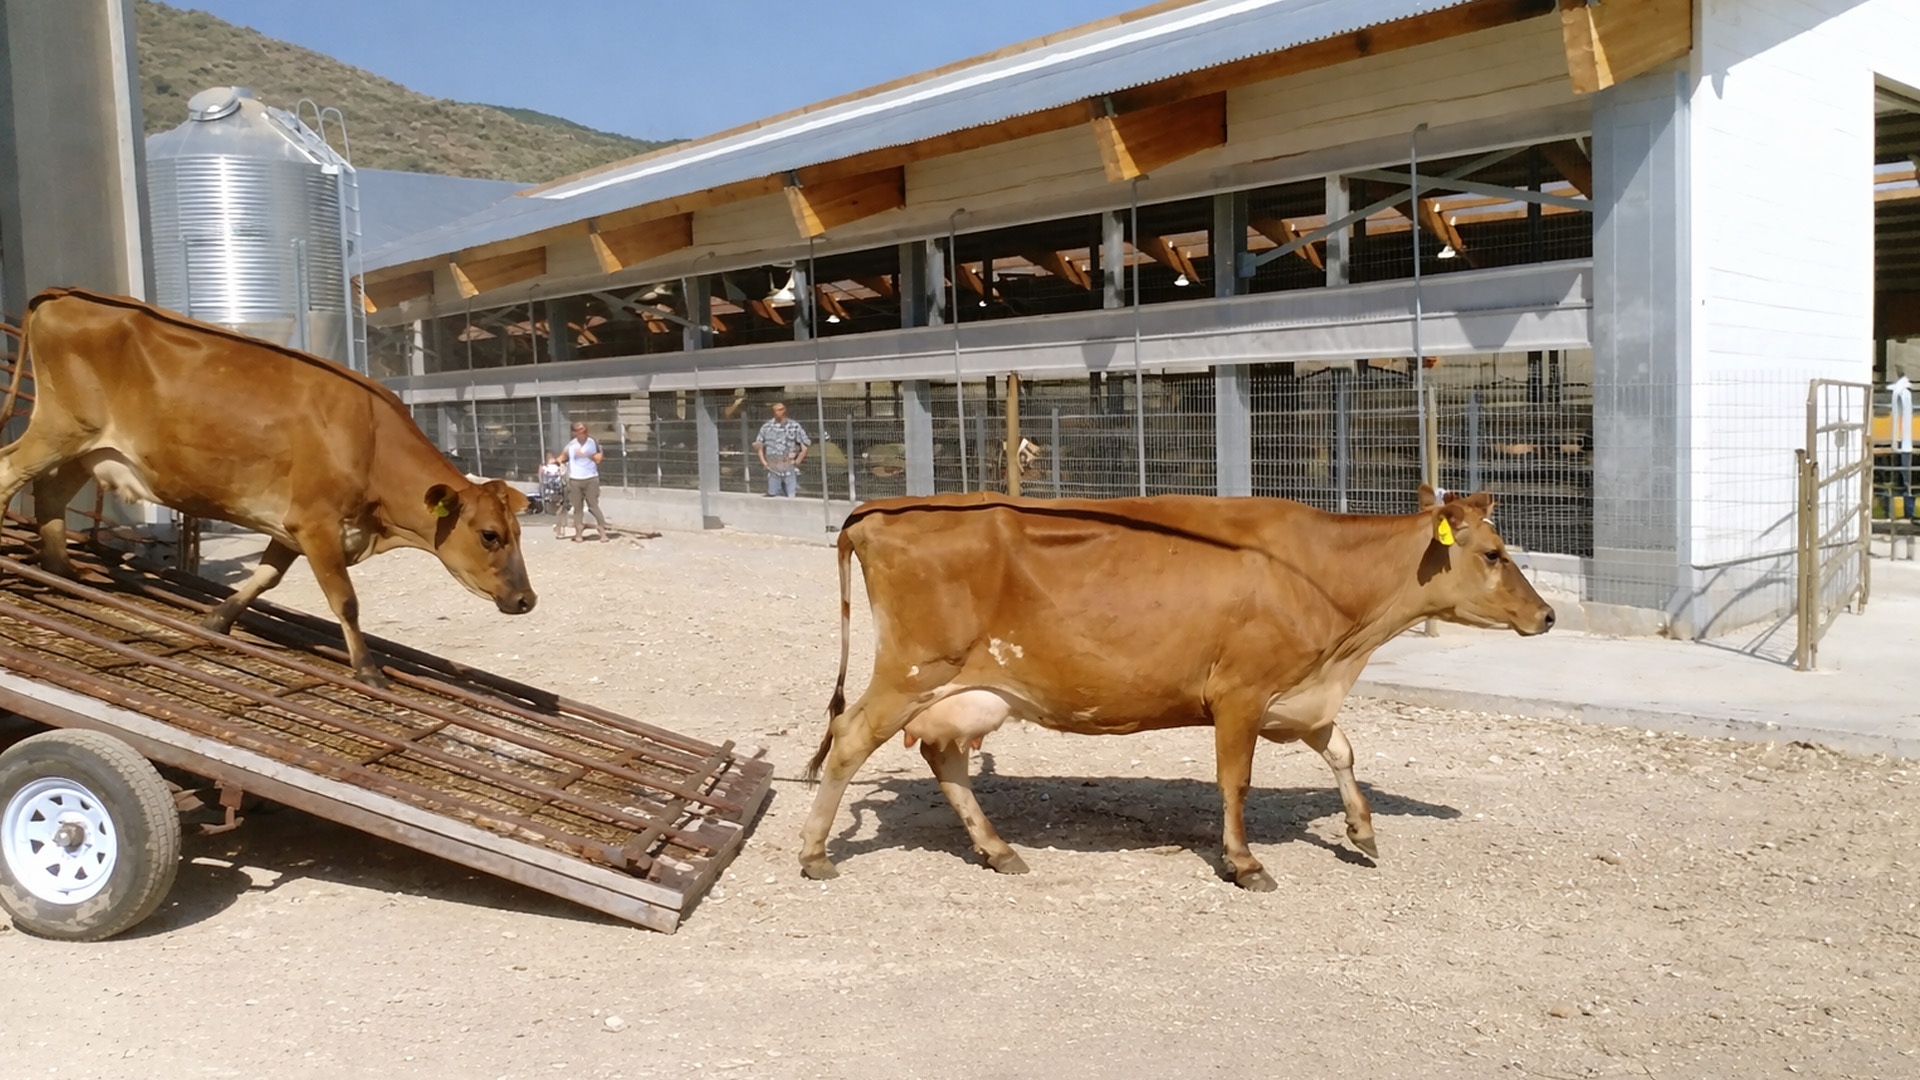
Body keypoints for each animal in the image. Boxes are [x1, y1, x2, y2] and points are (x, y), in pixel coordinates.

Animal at [0, 287, 536, 686]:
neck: (370, 441)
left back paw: (62, 569)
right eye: (490, 535)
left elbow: (264, 577)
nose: (526, 600)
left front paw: (218, 618)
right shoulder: (316, 523)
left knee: (49, 493)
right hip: (61, 428)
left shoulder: (291, 527)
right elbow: (345, 600)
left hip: (88, 448)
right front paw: (367, 670)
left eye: (518, 533)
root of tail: (67, 294)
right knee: (9, 472)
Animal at [801, 487, 1553, 890]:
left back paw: (997, 848)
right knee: (848, 739)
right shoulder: (1242, 692)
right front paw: (1244, 862)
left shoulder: (1301, 695)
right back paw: (813, 852)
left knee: (944, 757)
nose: (1547, 615)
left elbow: (1342, 750)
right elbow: (1235, 782)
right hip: (911, 671)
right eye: (1494, 553)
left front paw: (1362, 830)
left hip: (966, 689)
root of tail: (886, 508)